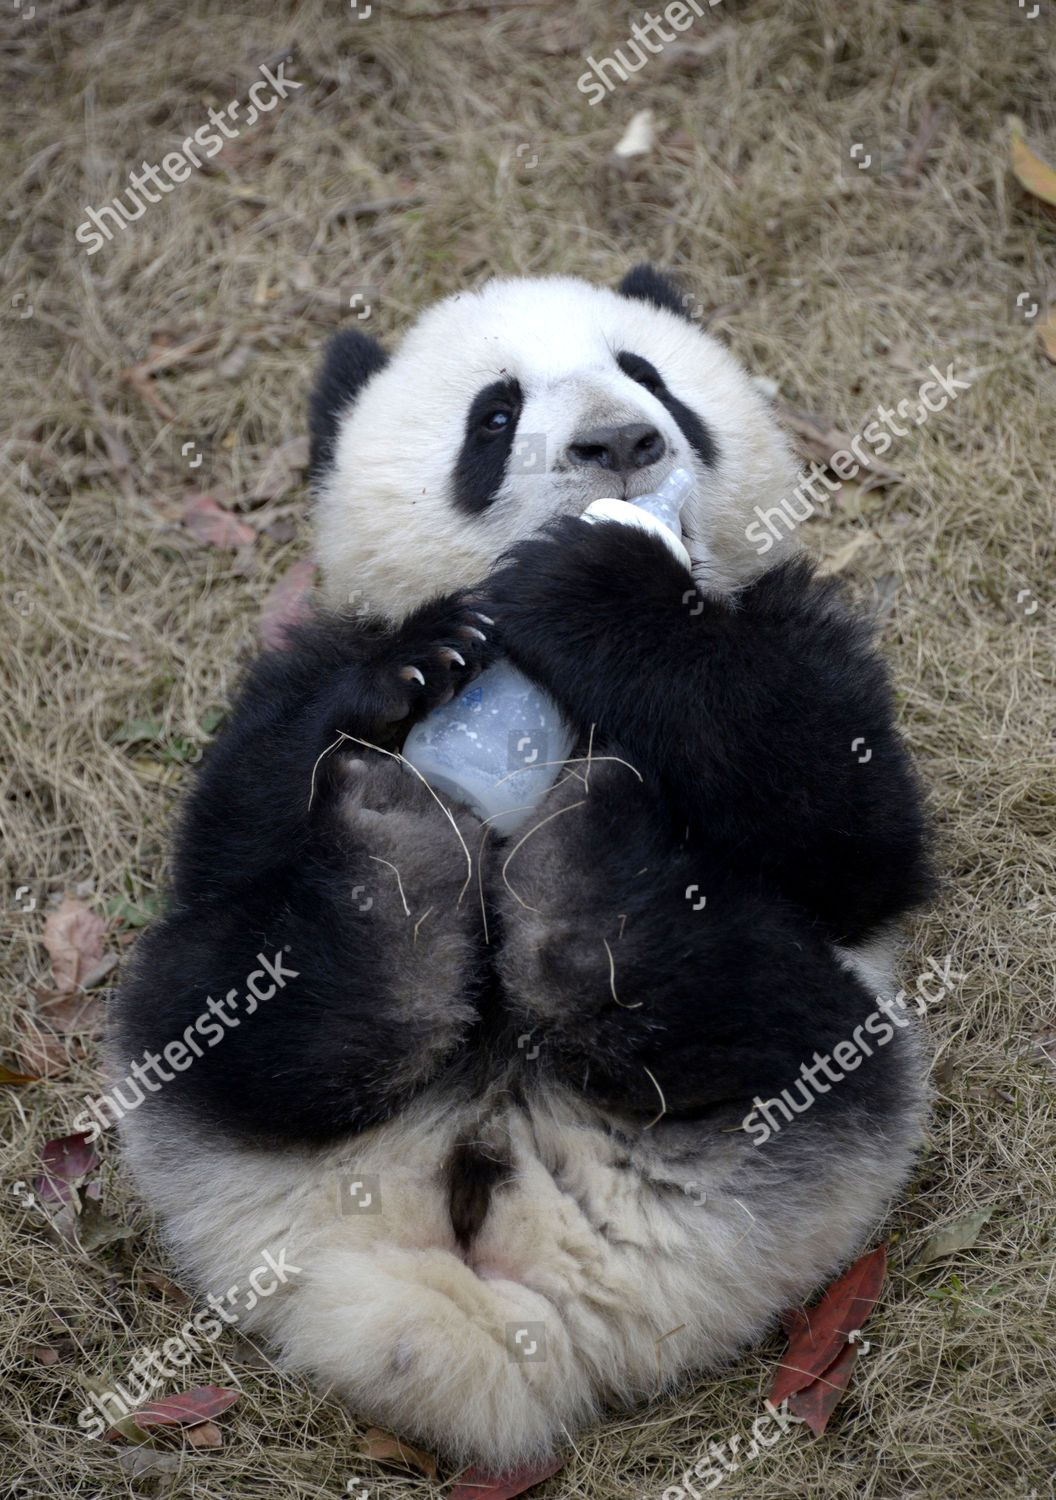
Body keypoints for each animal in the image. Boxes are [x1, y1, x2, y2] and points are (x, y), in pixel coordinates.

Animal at [109, 266, 933, 1469]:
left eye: (649, 378)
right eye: (492, 419)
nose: (621, 443)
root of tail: (498, 1320)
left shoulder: (795, 628)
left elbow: (853, 832)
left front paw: (603, 581)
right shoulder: (300, 661)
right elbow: (228, 824)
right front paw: (414, 660)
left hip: (818, 1102)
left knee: (768, 1020)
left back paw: (579, 880)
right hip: (208, 1102)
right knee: (227, 1005)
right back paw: (397, 872)